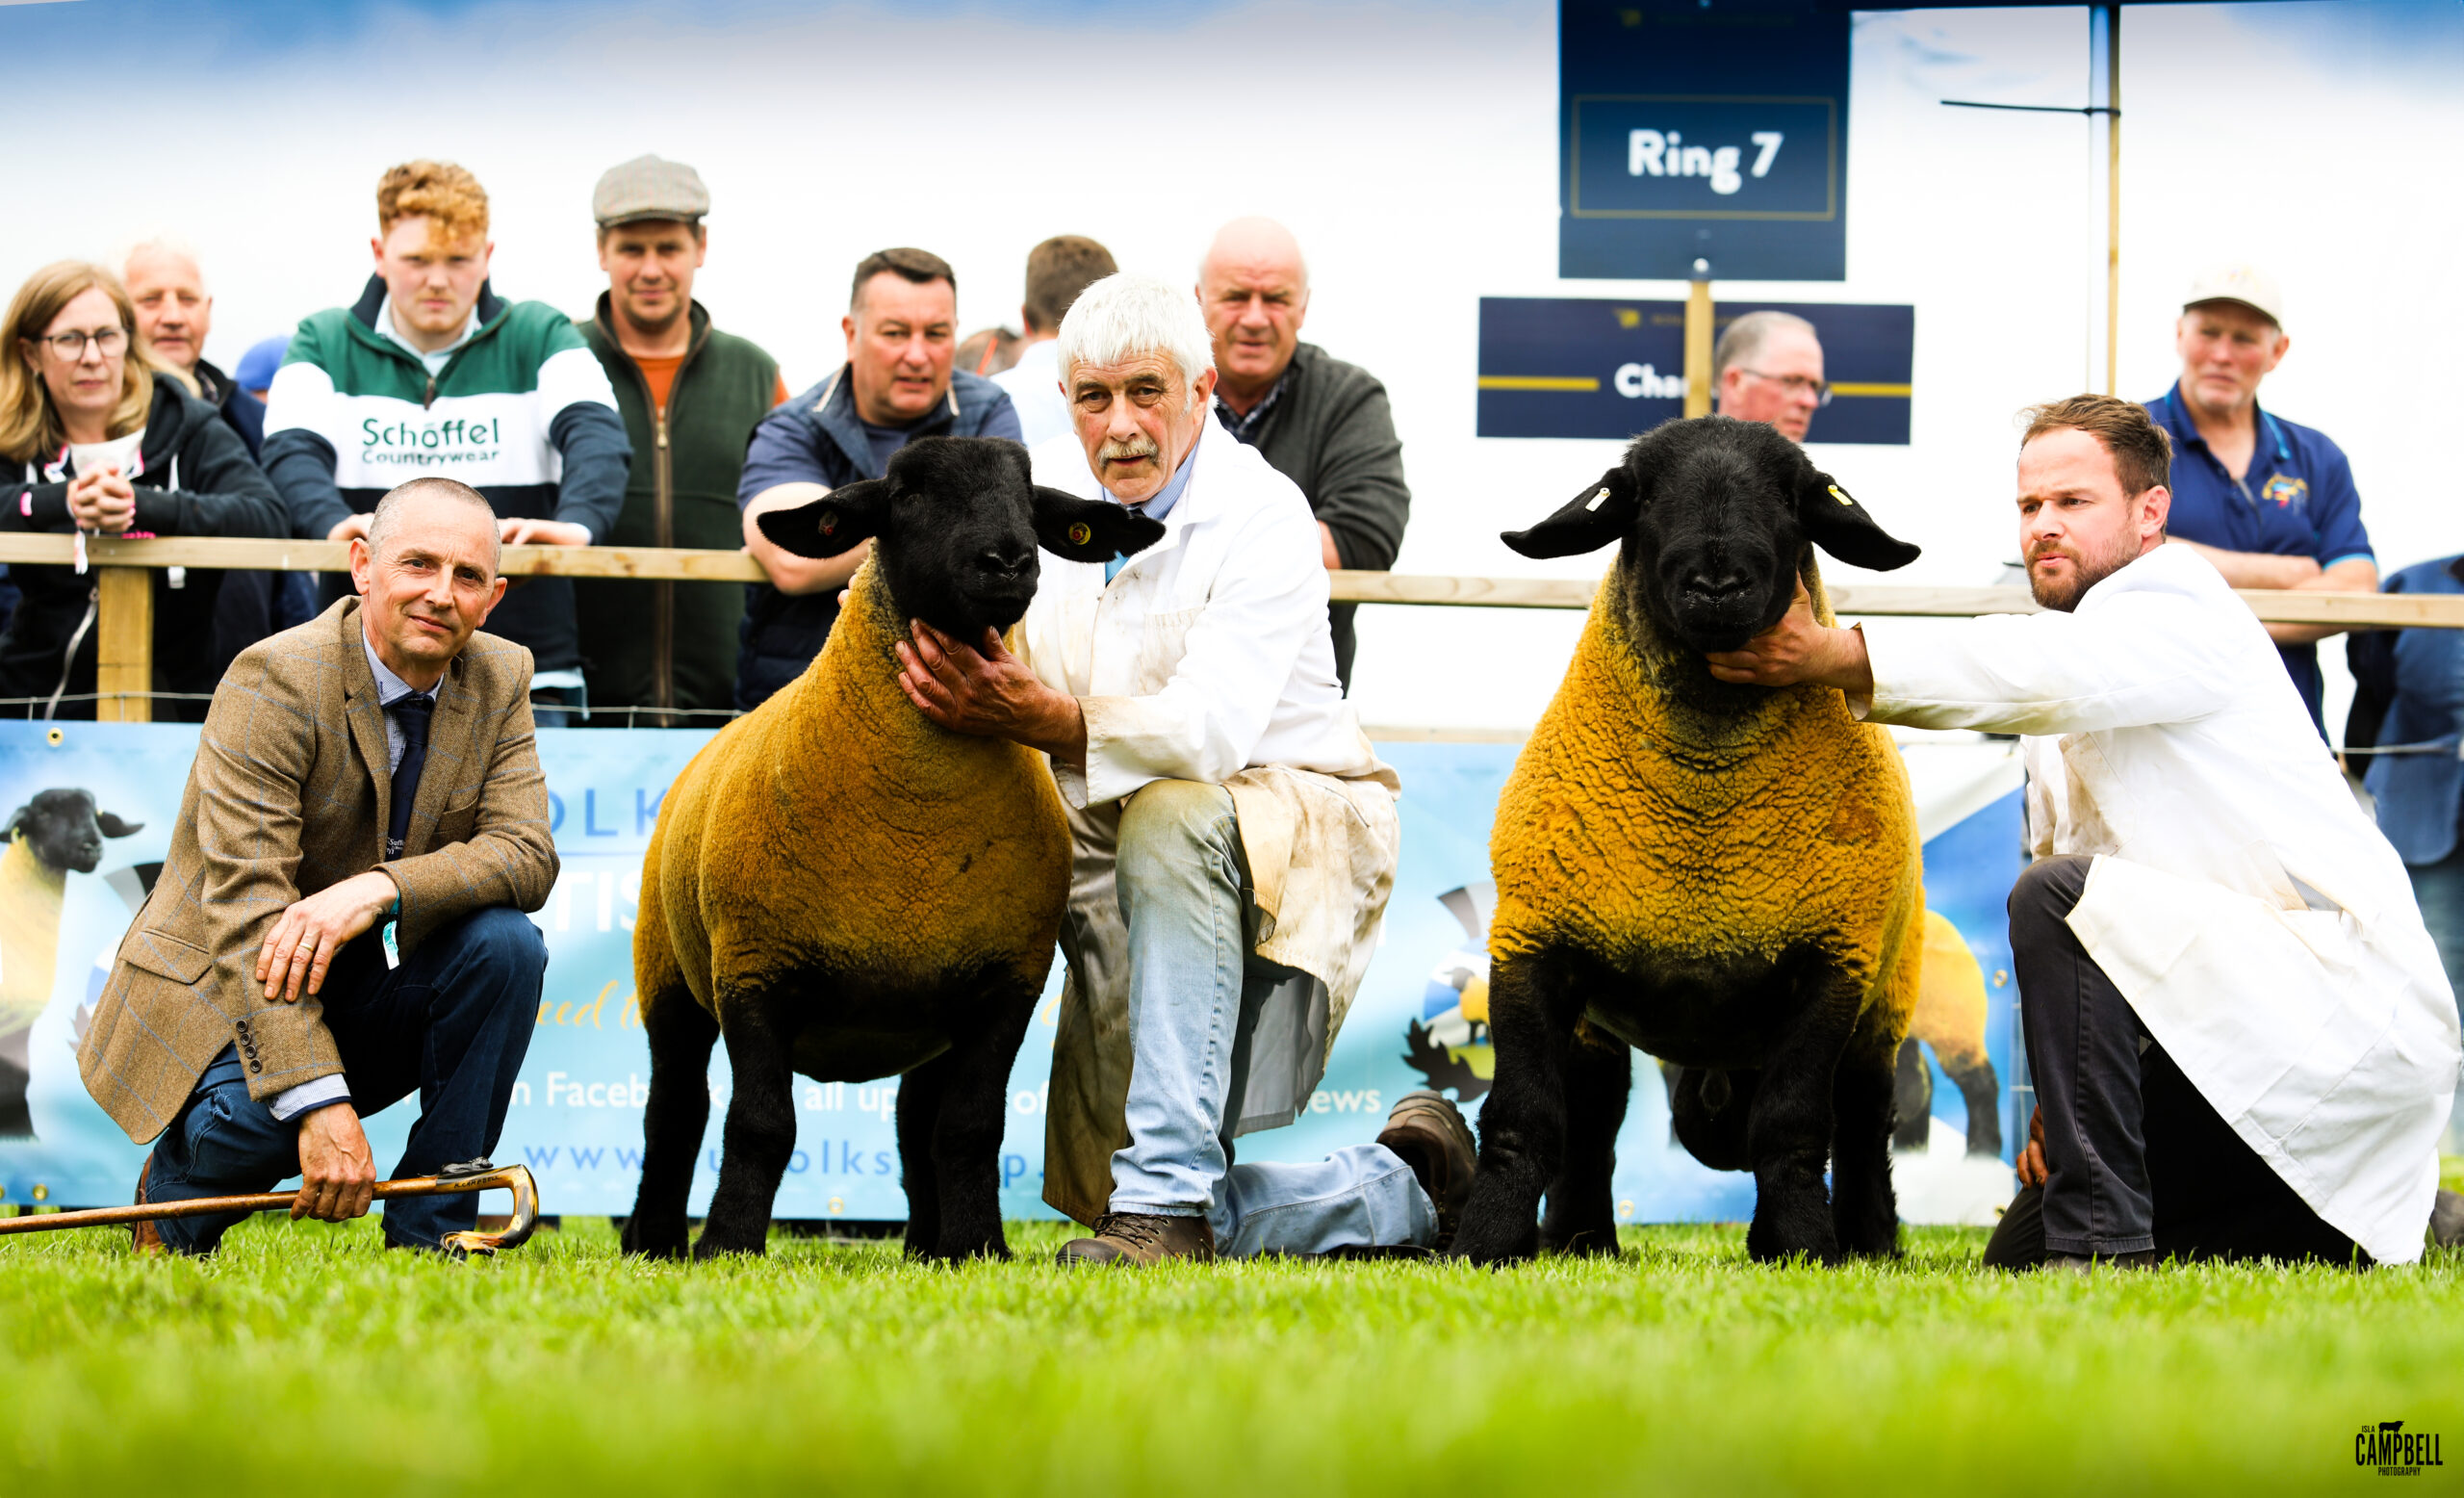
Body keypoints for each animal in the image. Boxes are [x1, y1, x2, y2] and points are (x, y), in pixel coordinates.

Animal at [621, 436, 1161, 1262]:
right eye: (905, 494)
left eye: (1028, 495)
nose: (1008, 561)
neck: (912, 828)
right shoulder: (752, 970)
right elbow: (759, 1124)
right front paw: (729, 1245)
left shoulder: (1005, 985)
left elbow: (968, 1128)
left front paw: (979, 1248)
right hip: (669, 974)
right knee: (674, 1110)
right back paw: (653, 1241)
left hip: (927, 1015)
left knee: (915, 1126)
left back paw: (927, 1248)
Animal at [1451, 416, 1925, 1265]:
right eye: (1638, 495)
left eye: (1795, 496)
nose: (1715, 584)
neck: (1702, 817)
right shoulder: (1534, 944)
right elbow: (1524, 1116)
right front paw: (1488, 1245)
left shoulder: (1833, 962)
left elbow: (1793, 1124)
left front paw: (1802, 1248)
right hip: (1597, 1021)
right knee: (1595, 1118)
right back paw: (1582, 1239)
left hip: (1887, 998)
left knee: (1865, 1120)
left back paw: (1867, 1244)